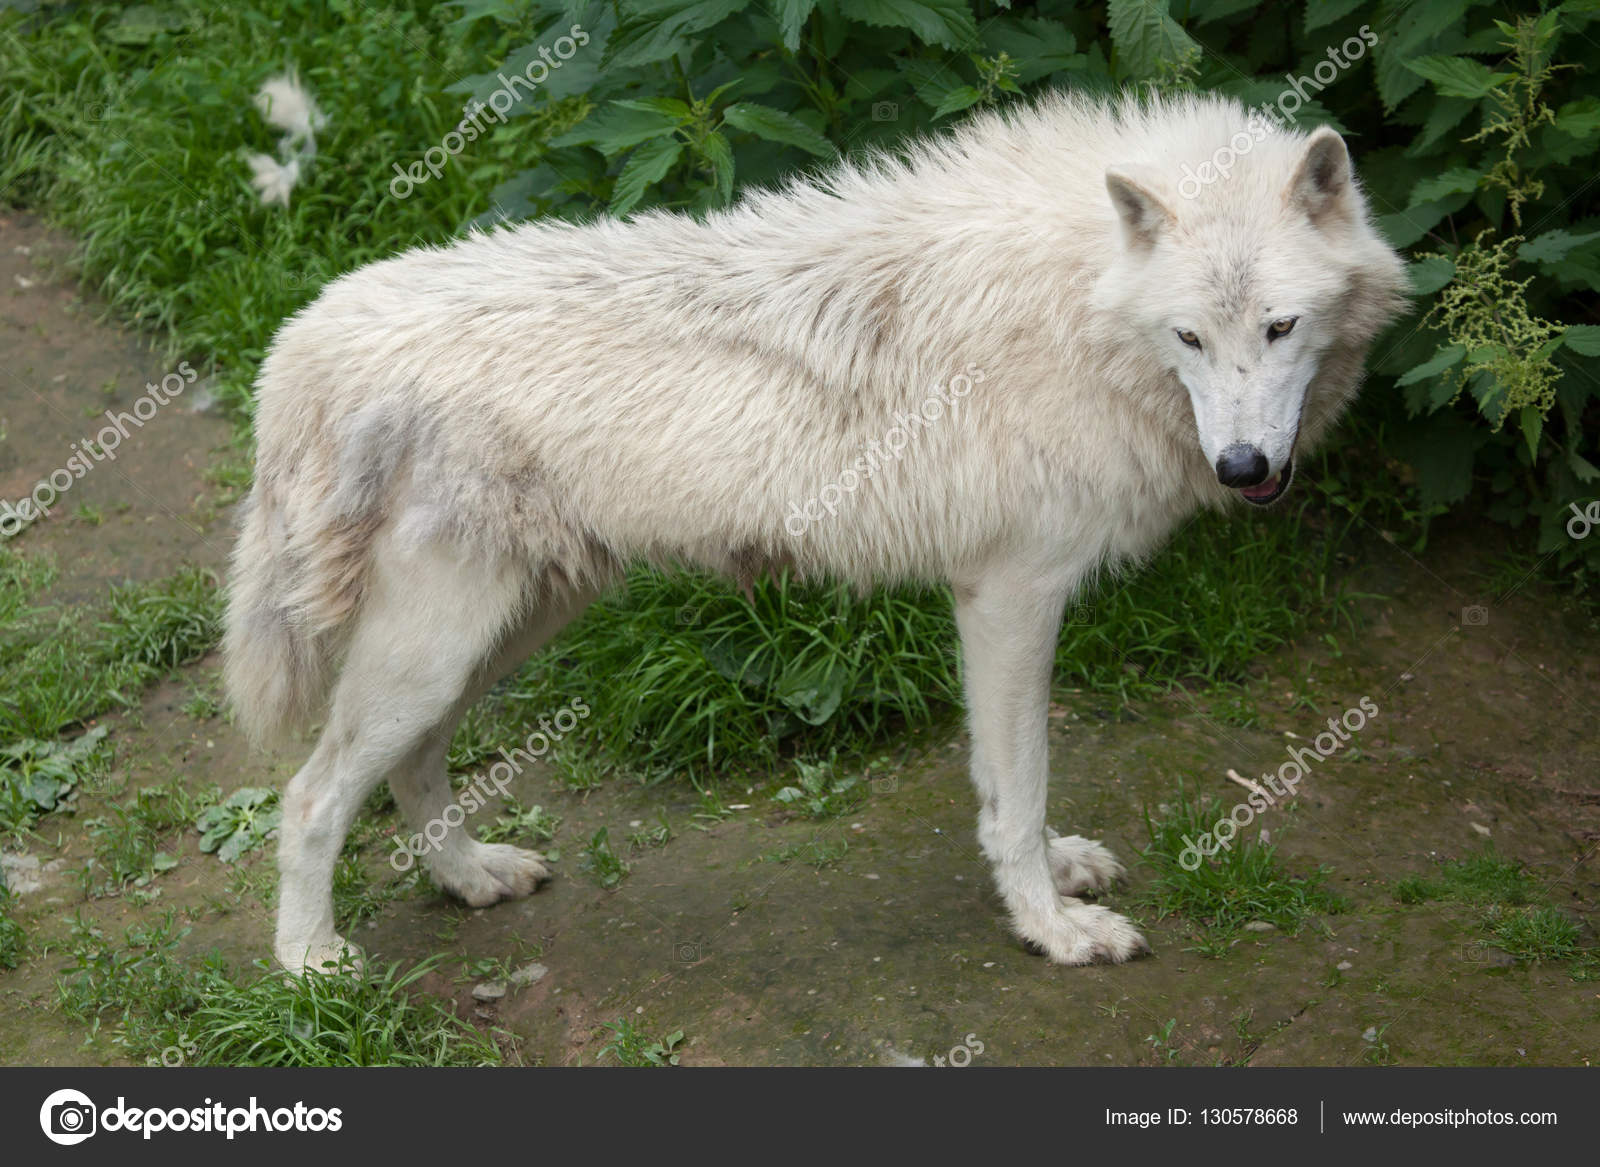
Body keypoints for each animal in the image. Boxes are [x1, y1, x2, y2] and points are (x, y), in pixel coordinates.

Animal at [225, 92, 1407, 975]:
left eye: (1281, 327)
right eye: (1189, 336)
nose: (1243, 468)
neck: (1076, 303)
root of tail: (308, 336)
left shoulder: (995, 602)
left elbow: (1002, 789)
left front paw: (1054, 877)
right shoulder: (1013, 593)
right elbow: (1017, 788)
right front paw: (1053, 929)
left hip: (505, 631)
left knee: (414, 765)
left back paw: (468, 879)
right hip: (441, 647)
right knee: (312, 794)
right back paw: (310, 964)